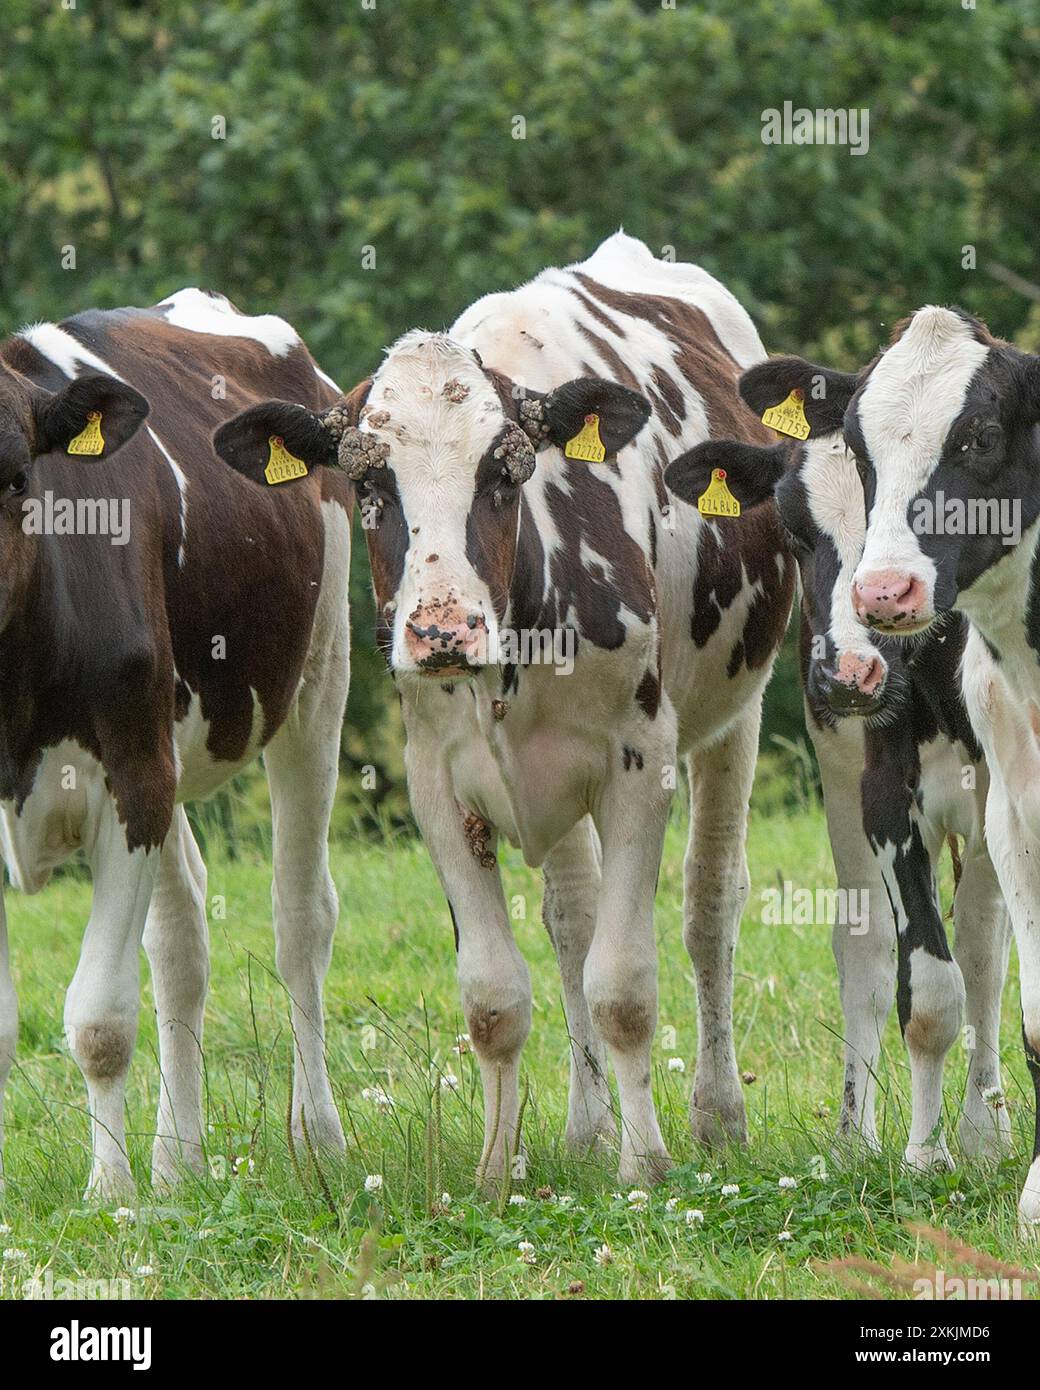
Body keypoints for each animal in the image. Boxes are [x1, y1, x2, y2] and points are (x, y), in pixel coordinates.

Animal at [0, 289, 351, 1198]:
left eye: (16, 478)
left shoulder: (134, 778)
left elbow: (100, 1018)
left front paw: (109, 1194)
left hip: (317, 677)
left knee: (301, 919)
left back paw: (317, 1139)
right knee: (182, 937)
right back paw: (177, 1161)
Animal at [214, 232, 795, 1185]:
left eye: (502, 474)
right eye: (370, 486)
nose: (440, 629)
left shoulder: (641, 763)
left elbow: (624, 987)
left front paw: (645, 1166)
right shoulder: (438, 784)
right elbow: (494, 995)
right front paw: (497, 1172)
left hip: (732, 715)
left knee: (710, 904)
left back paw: (716, 1114)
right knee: (573, 916)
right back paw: (586, 1127)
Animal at [664, 363, 1011, 1172]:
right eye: (795, 530)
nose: (851, 672)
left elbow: (981, 956)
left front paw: (977, 1138)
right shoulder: (880, 792)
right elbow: (926, 984)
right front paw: (922, 1155)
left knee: (985, 944)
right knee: (867, 948)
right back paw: (858, 1137)